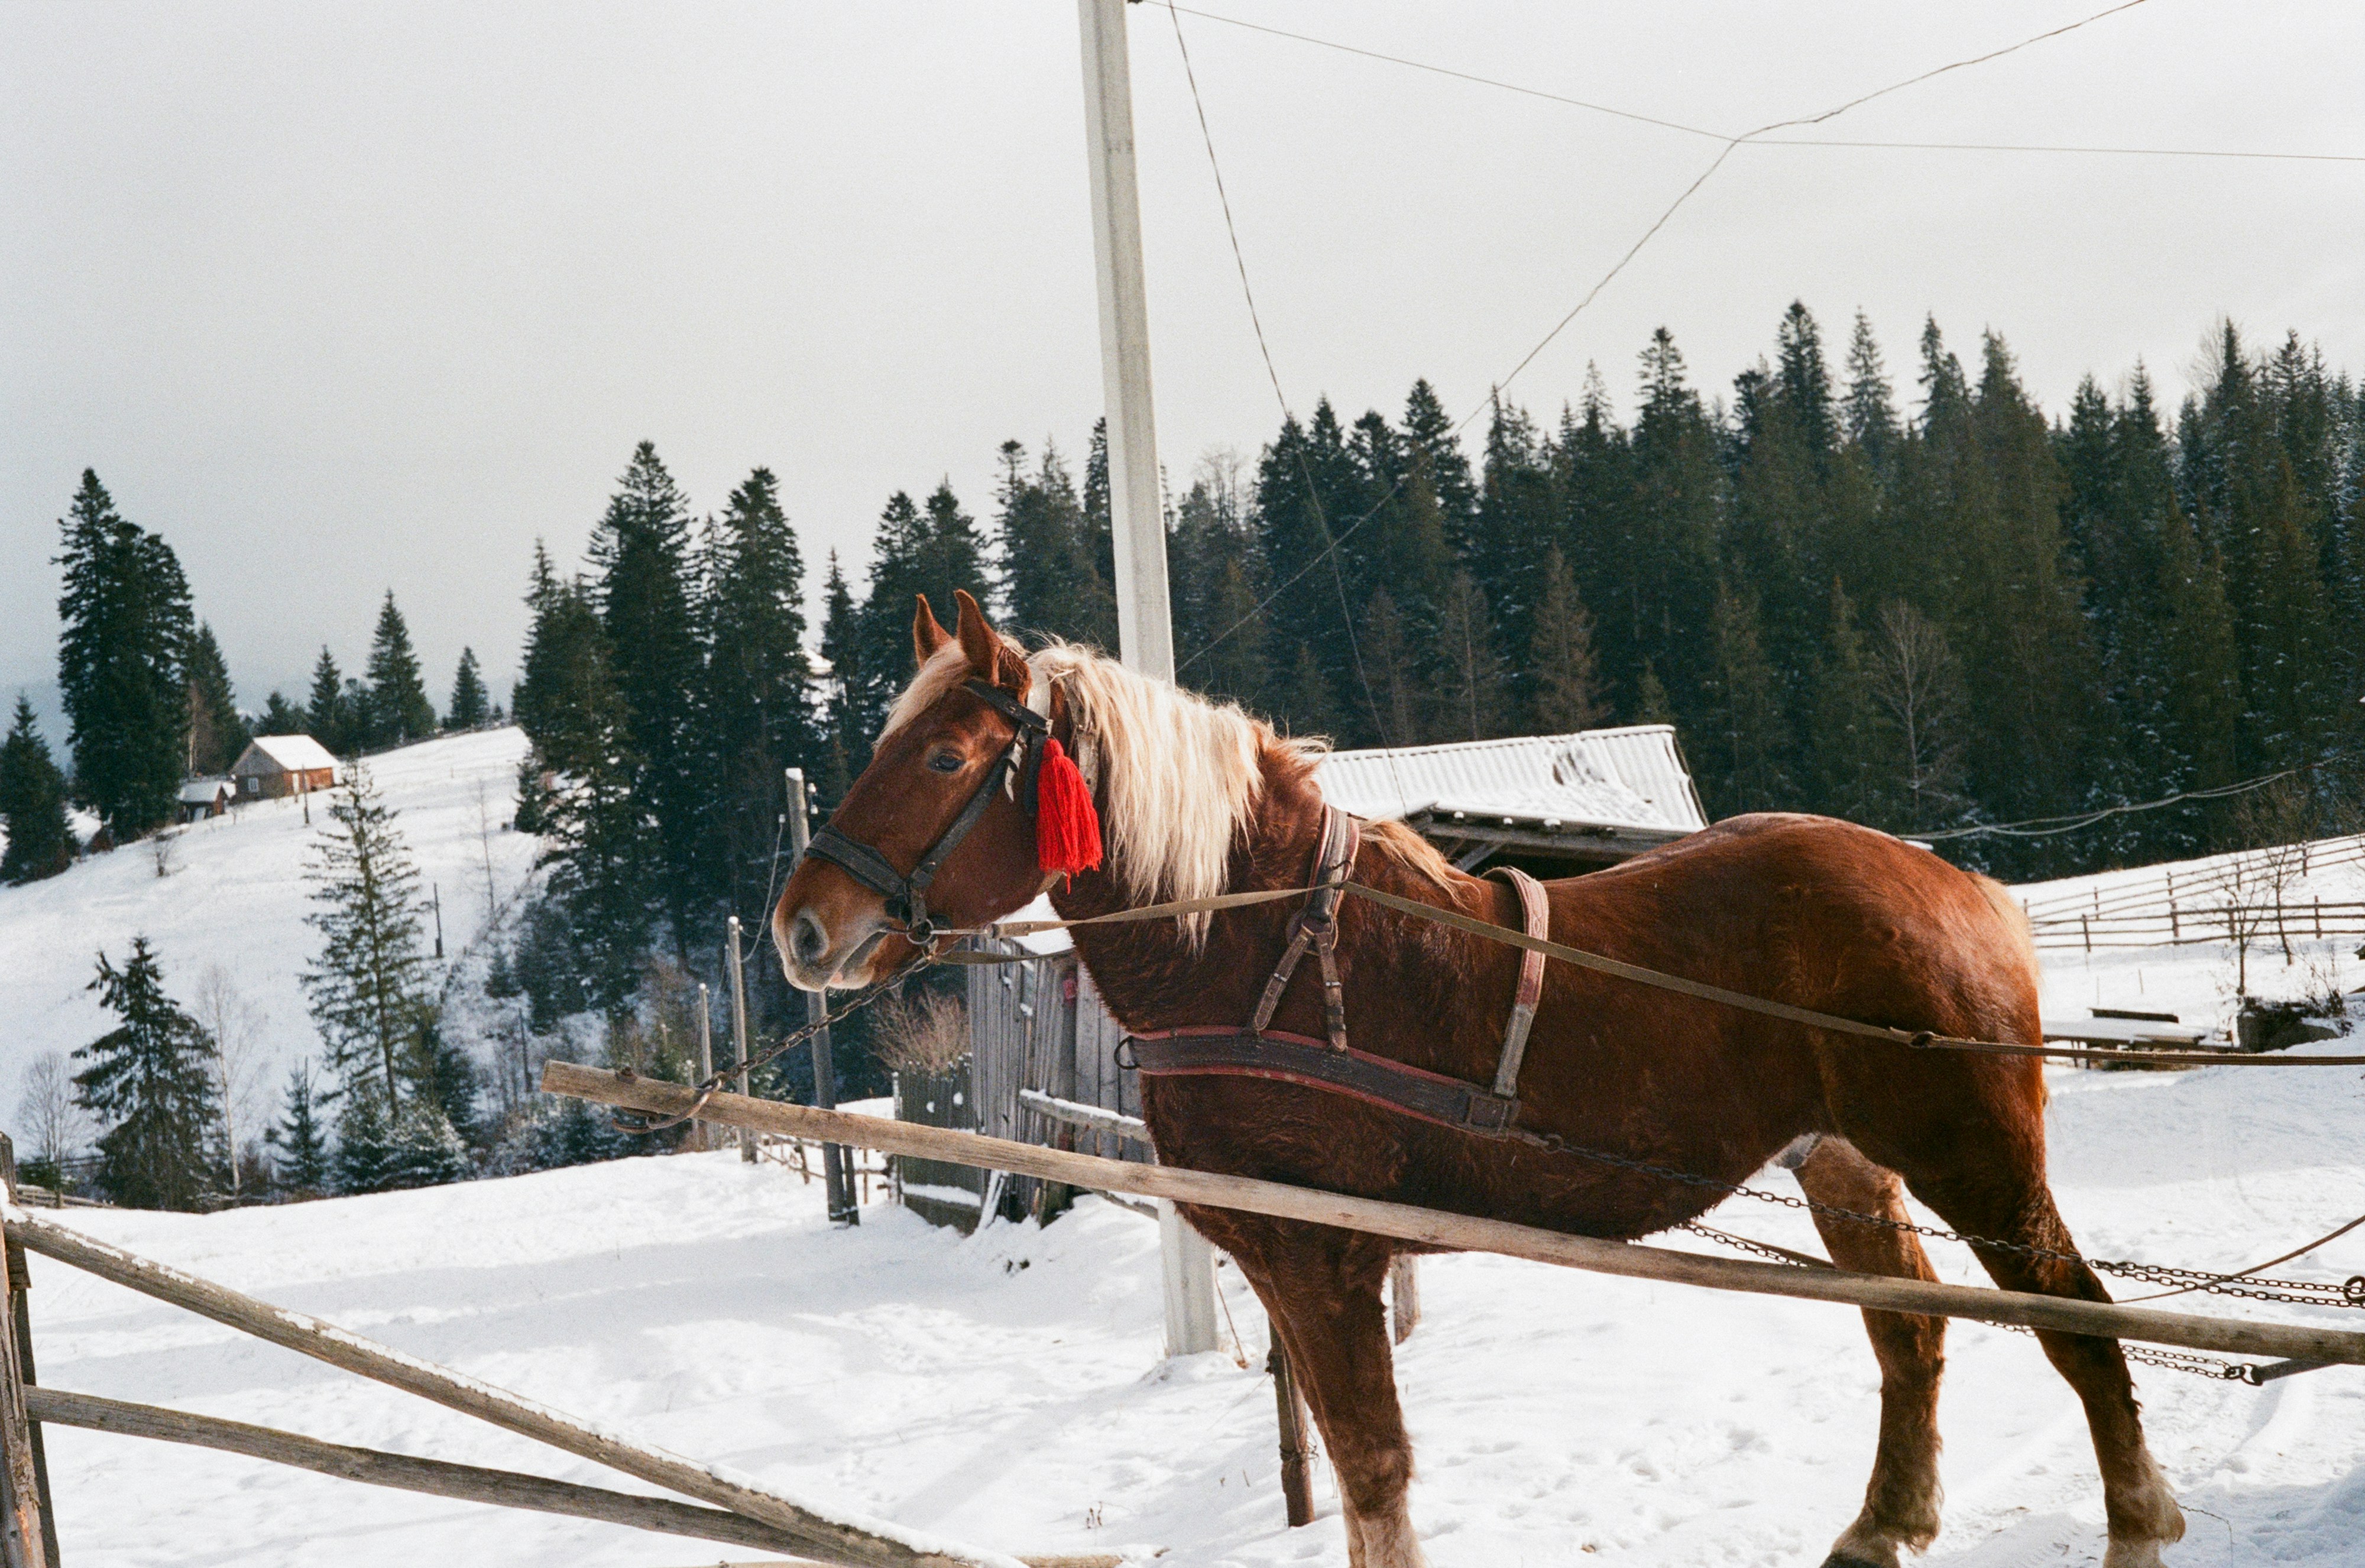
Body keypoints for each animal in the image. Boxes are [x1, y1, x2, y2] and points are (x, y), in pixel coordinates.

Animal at [772, 589, 2184, 1568]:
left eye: (945, 760)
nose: (801, 927)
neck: (1257, 945)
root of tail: (1955, 882)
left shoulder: (1326, 1259)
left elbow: (1375, 1471)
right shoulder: (1285, 1261)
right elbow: (1358, 1476)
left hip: (1973, 1154)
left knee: (2077, 1316)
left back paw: (2135, 1517)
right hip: (1842, 1158)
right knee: (1911, 1330)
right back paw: (1884, 1523)